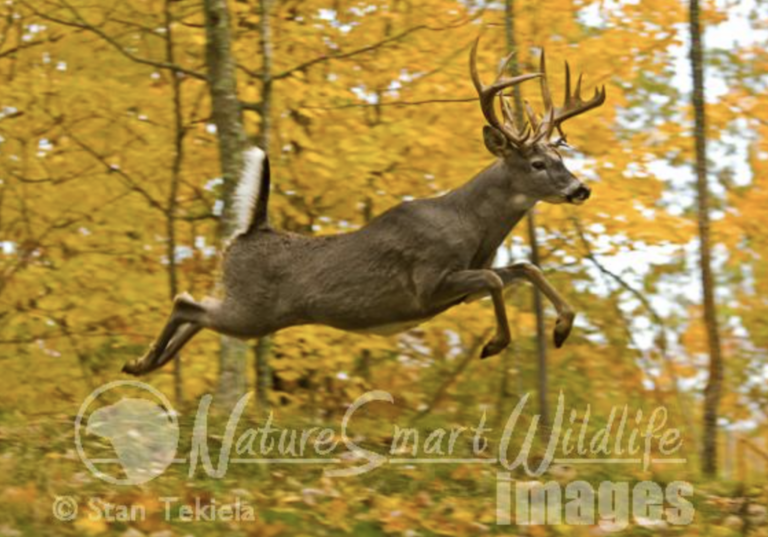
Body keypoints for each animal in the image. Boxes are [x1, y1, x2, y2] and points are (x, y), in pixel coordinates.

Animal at [122, 36, 606, 376]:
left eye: (561, 158)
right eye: (538, 163)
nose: (580, 189)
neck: (469, 227)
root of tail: (252, 229)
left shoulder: (463, 285)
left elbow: (523, 267)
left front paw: (562, 327)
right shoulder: (427, 283)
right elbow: (494, 278)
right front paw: (495, 344)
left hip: (249, 312)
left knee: (198, 312)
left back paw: (146, 362)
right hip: (252, 310)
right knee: (187, 302)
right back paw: (142, 362)